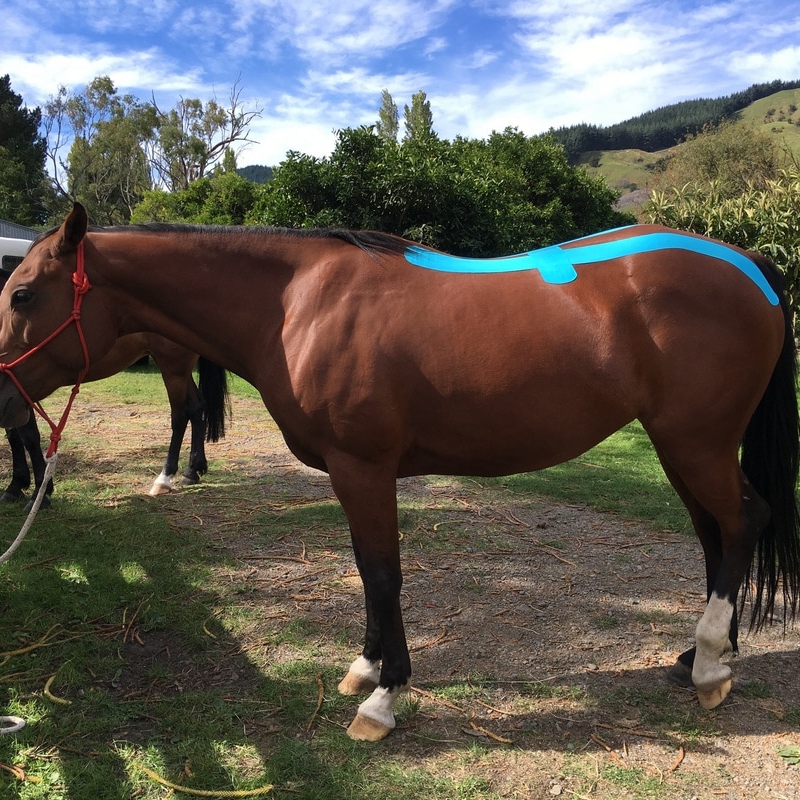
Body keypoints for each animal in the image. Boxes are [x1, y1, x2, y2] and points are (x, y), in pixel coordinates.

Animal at [0, 203, 797, 742]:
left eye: (22, 294)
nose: (1, 398)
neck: (296, 305)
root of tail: (750, 263)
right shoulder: (350, 474)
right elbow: (365, 569)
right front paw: (366, 665)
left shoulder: (364, 467)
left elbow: (383, 573)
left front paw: (382, 699)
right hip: (680, 446)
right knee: (716, 536)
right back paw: (700, 653)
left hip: (694, 442)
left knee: (743, 522)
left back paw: (711, 669)